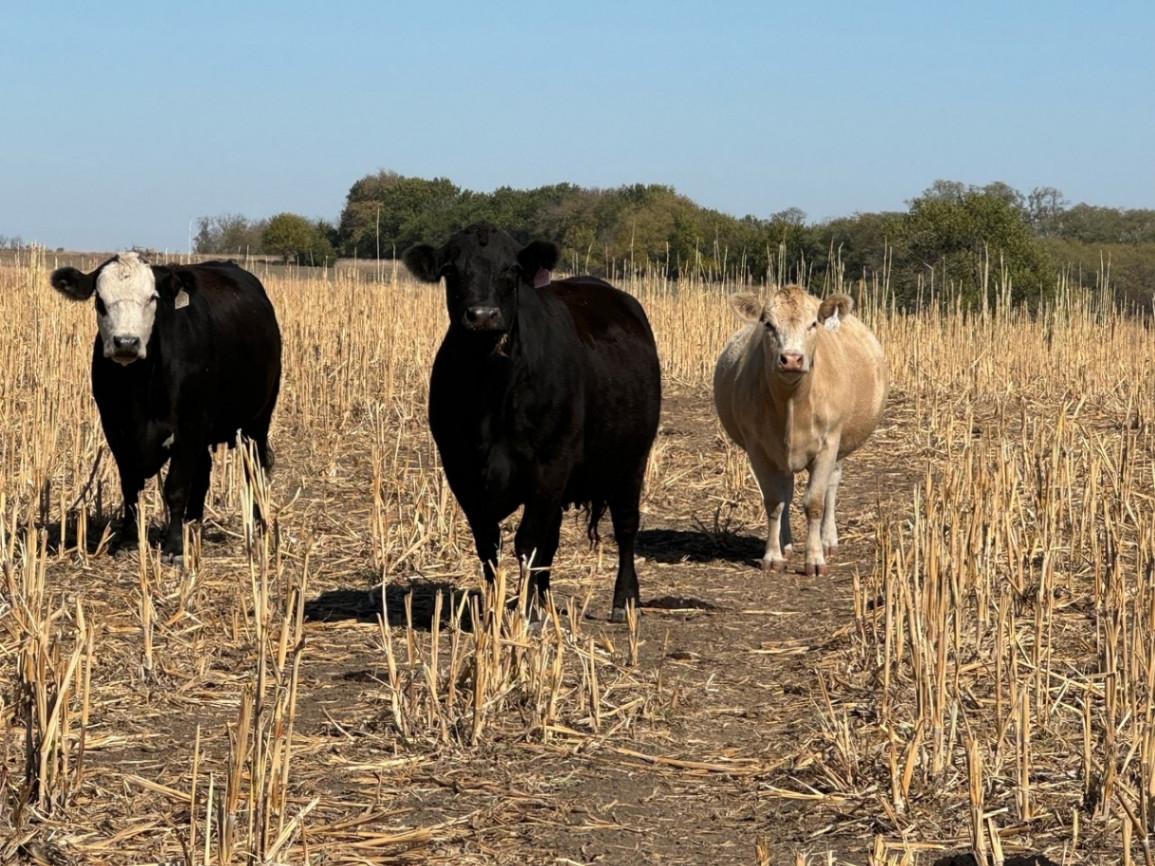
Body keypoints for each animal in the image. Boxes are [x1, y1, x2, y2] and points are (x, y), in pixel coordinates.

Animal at [50, 252, 282, 561]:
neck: (139, 387)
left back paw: (256, 524)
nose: (126, 342)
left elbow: (176, 489)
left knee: (254, 469)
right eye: (100, 300)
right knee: (203, 473)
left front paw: (173, 547)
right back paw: (193, 524)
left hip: (257, 420)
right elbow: (131, 487)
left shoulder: (189, 428)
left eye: (152, 298)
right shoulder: (117, 430)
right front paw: (127, 540)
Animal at [402, 224, 662, 622]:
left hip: (631, 461)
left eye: (512, 270)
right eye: (450, 270)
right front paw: (498, 609)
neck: (491, 387)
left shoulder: (550, 463)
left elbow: (527, 542)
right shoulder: (460, 467)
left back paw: (623, 600)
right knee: (552, 540)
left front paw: (525, 613)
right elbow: (489, 542)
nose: (482, 315)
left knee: (626, 526)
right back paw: (544, 599)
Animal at [713, 285, 887, 576]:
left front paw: (815, 558)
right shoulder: (758, 449)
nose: (792, 359)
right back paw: (787, 546)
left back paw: (828, 541)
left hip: (838, 448)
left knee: (831, 486)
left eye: (813, 324)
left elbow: (814, 503)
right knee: (786, 490)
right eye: (768, 324)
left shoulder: (828, 444)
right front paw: (773, 556)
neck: (792, 404)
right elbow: (774, 501)